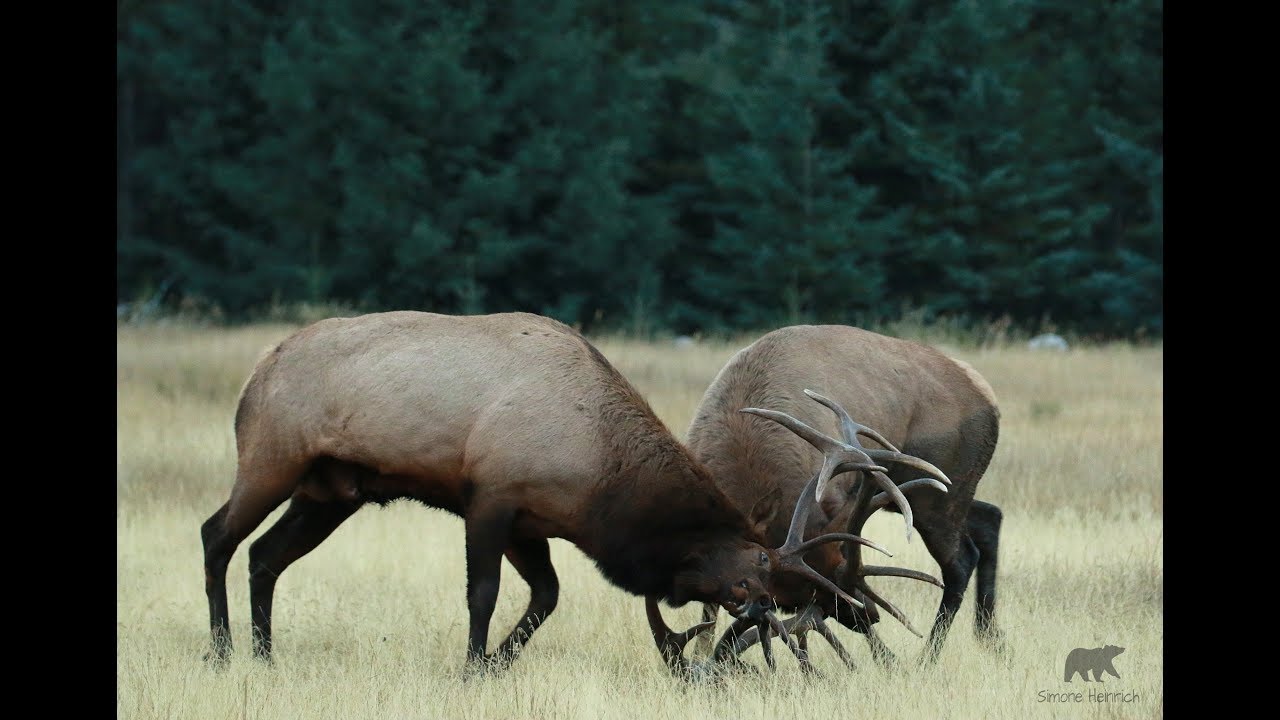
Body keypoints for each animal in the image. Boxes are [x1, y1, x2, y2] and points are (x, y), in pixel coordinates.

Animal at [199, 311, 944, 677]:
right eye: (752, 573)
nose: (762, 610)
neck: (597, 476)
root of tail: (257, 371)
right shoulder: (489, 496)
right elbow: (483, 593)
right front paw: (471, 666)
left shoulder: (534, 523)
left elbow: (546, 597)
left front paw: (498, 663)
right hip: (270, 457)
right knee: (217, 534)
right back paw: (223, 649)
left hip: (332, 492)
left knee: (265, 556)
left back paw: (264, 653)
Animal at [684, 324, 1003, 671]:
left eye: (824, 585)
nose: (869, 616)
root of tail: (988, 395)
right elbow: (708, 604)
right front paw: (700, 654)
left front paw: (885, 659)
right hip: (931, 492)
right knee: (990, 517)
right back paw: (993, 640)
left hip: (940, 492)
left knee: (960, 560)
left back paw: (928, 657)